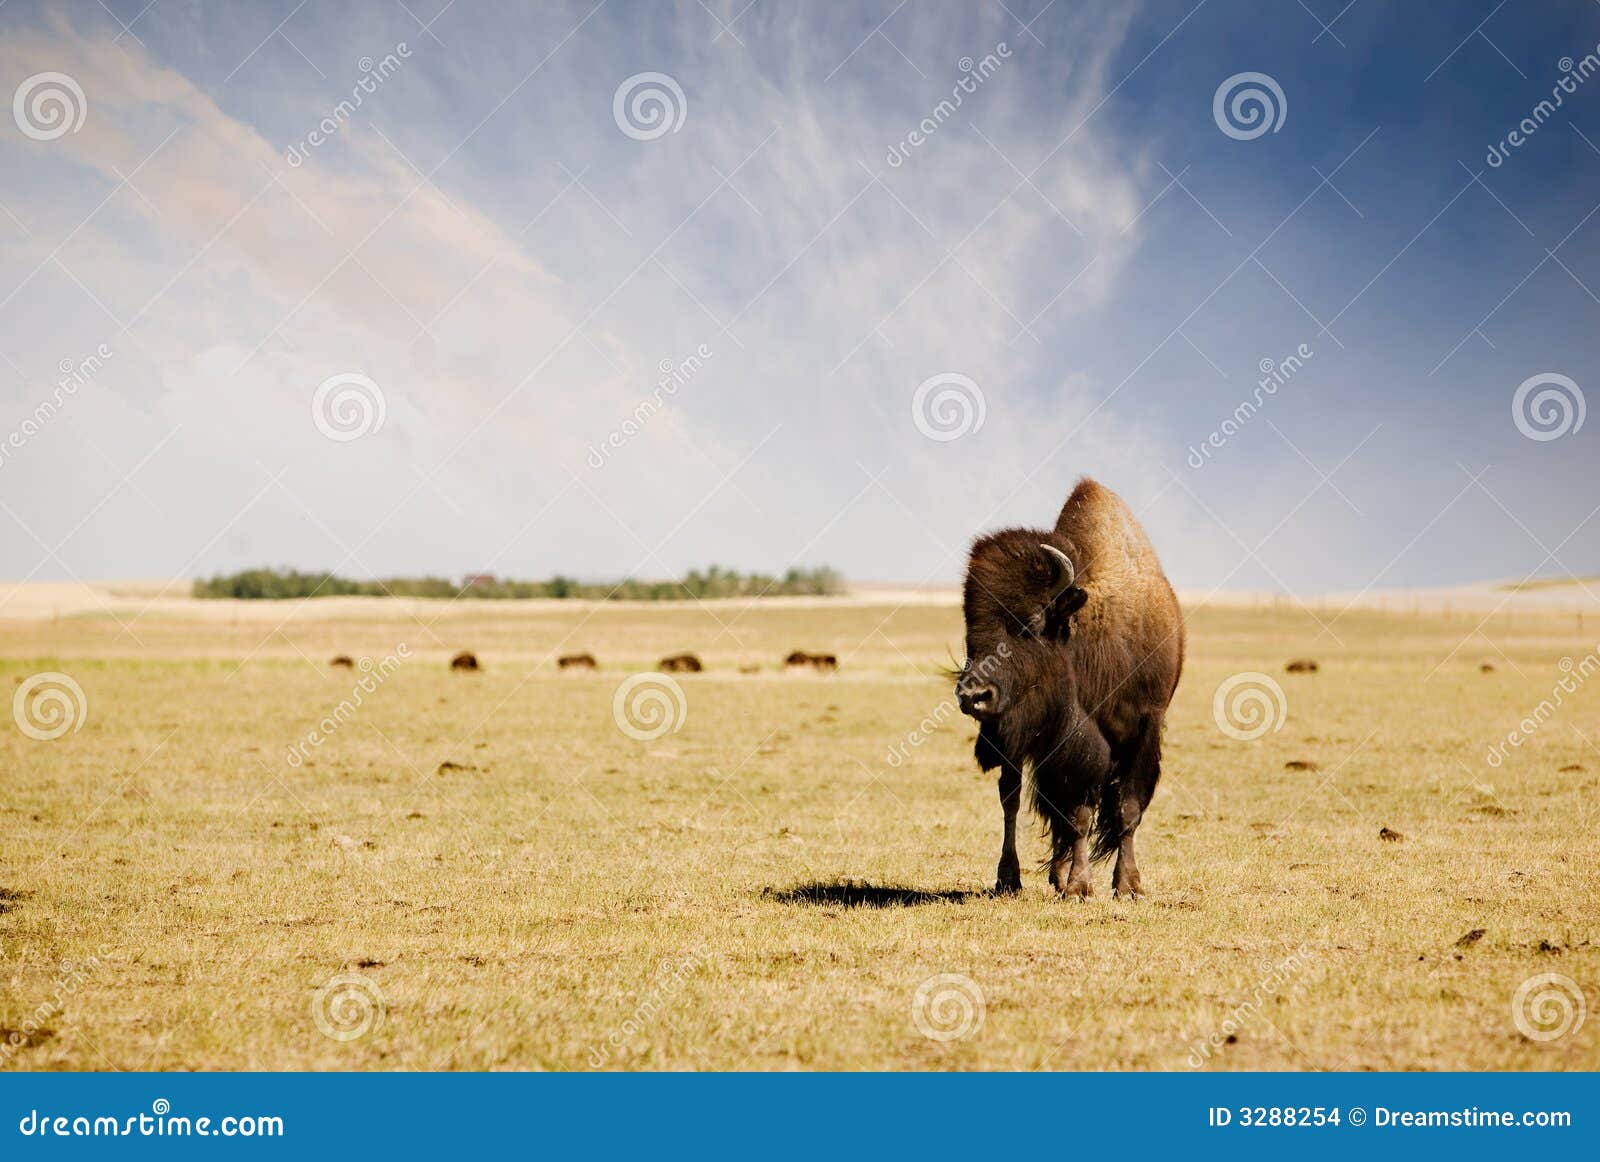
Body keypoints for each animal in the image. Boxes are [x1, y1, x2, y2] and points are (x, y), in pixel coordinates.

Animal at [956, 478, 1184, 900]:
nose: (974, 696)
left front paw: (1127, 885)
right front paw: (1078, 885)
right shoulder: (1067, 747)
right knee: (1014, 798)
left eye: (1029, 623)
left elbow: (1126, 809)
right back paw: (1013, 878)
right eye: (970, 626)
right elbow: (1075, 812)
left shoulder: (1144, 728)